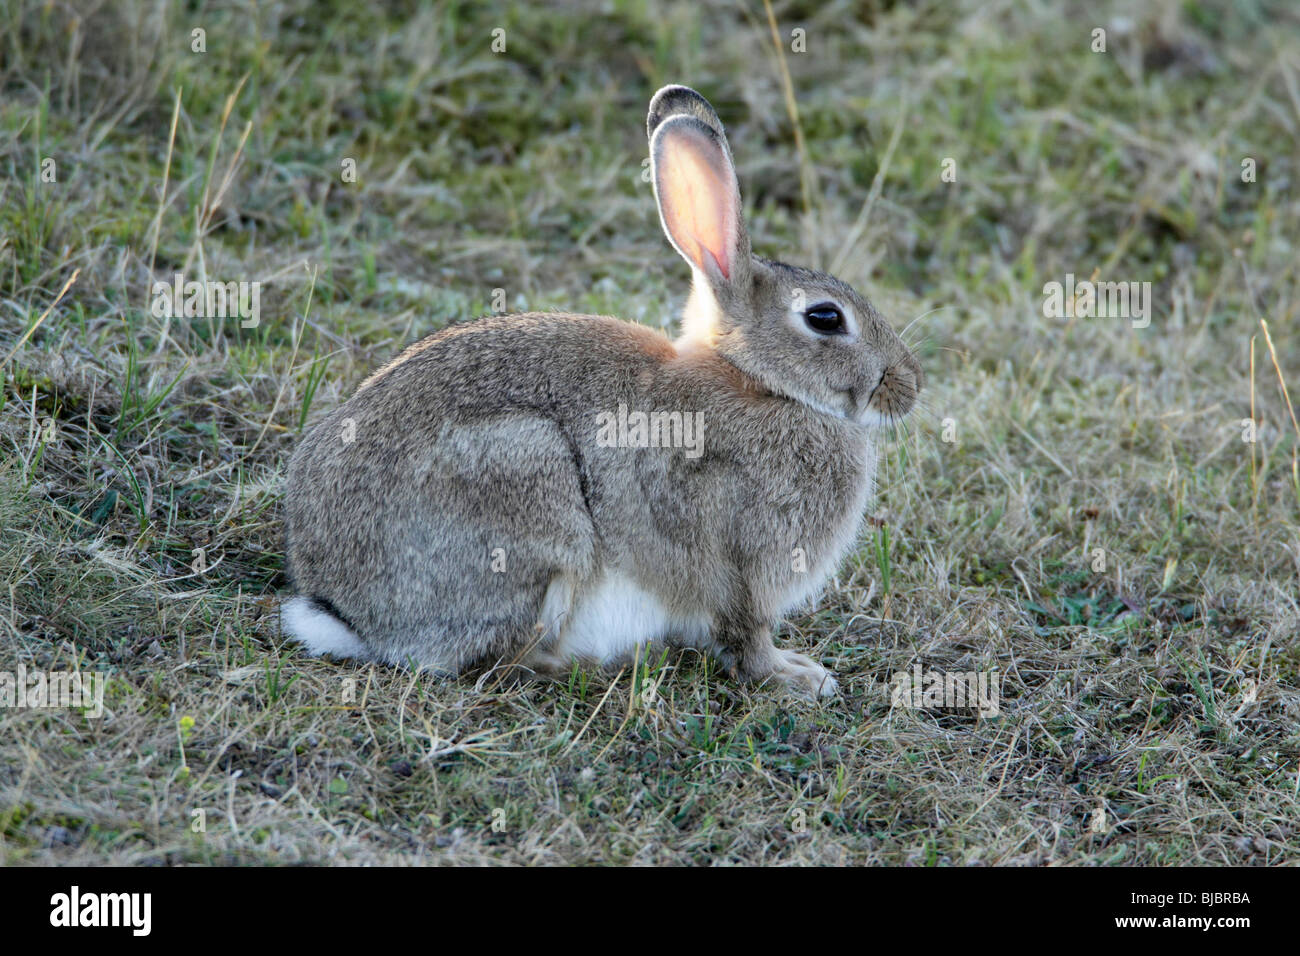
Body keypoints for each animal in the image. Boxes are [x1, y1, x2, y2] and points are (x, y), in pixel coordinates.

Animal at [281, 85, 923, 698]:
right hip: (531, 491)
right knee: (497, 661)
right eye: (825, 318)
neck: (761, 384)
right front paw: (799, 677)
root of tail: (348, 612)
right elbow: (746, 635)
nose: (908, 387)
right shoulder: (743, 566)